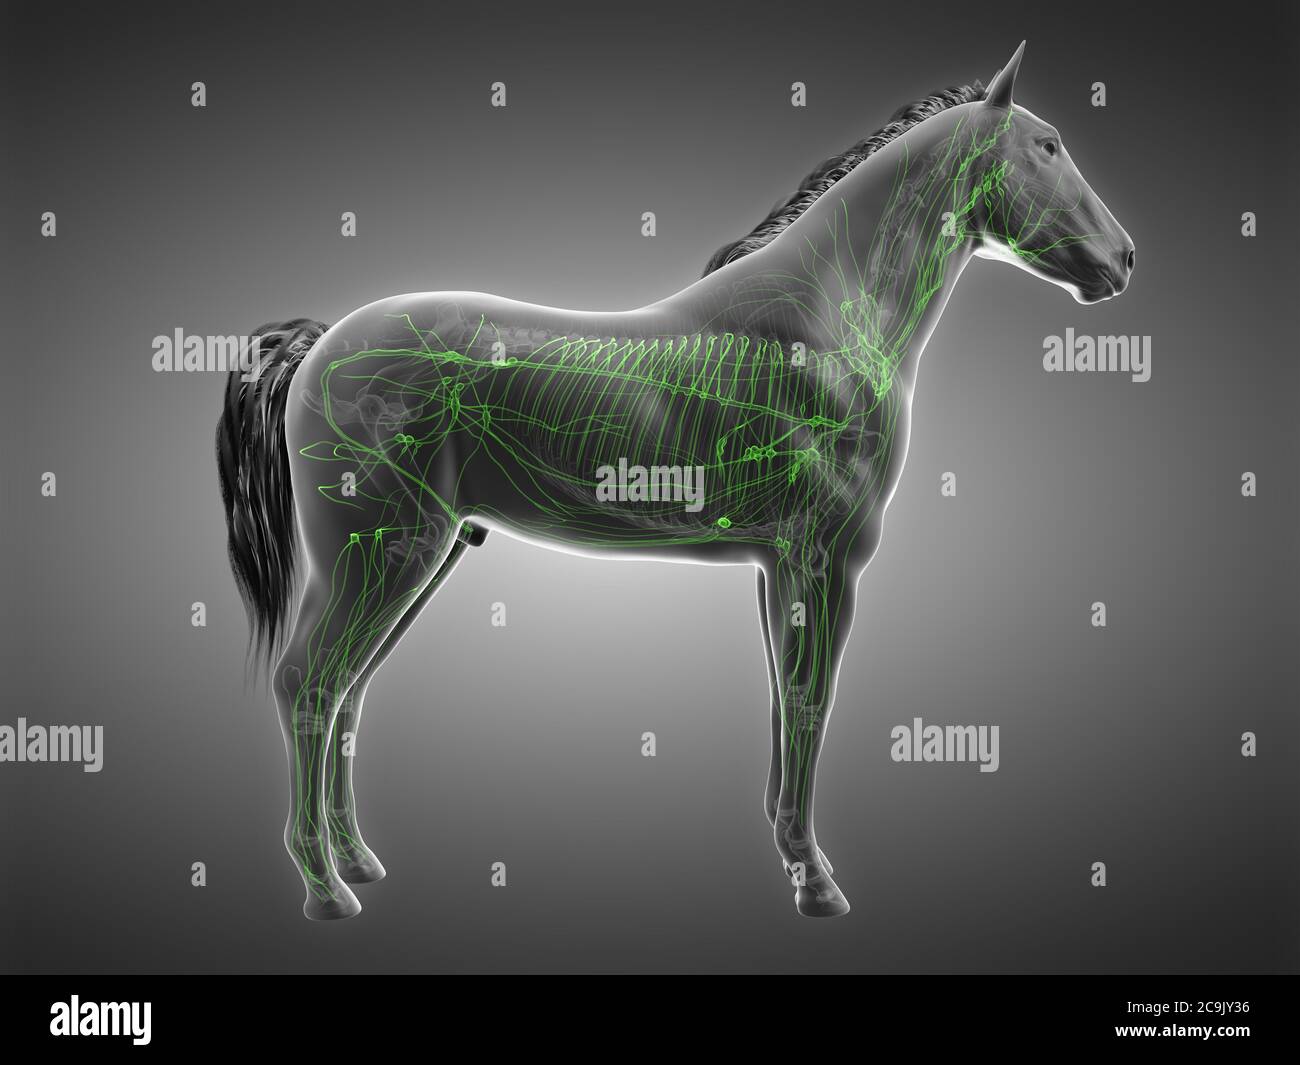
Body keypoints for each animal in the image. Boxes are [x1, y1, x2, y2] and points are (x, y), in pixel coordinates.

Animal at [216, 42, 1134, 920]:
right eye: (1047, 146)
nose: (1122, 259)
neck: (823, 327)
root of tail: (322, 346)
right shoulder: (825, 561)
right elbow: (809, 701)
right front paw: (816, 882)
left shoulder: (778, 568)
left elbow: (783, 704)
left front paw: (793, 853)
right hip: (382, 554)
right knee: (308, 685)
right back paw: (325, 889)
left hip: (415, 557)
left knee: (348, 693)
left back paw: (357, 862)